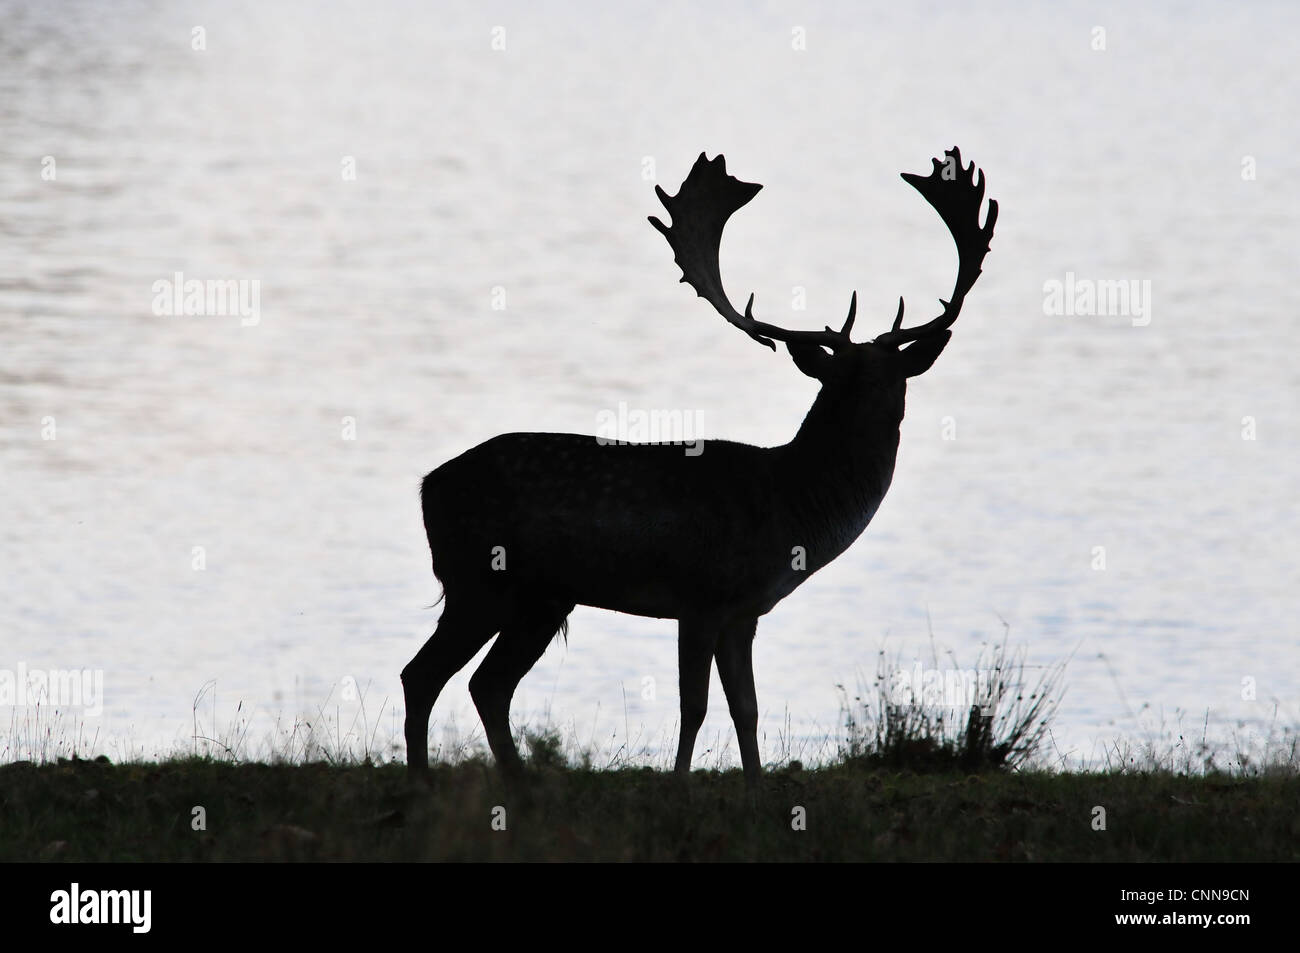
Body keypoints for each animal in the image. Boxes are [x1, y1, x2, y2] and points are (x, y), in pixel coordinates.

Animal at [402, 147, 997, 787]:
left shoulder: (745, 612)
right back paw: (422, 781)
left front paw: (756, 785)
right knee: (425, 674)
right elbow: (696, 704)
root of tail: (427, 485)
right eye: (836, 381)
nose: (875, 421)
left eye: (895, 378)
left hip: (541, 598)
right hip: (479, 578)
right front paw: (681, 782)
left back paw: (518, 783)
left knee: (487, 684)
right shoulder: (701, 596)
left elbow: (747, 706)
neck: (791, 510)